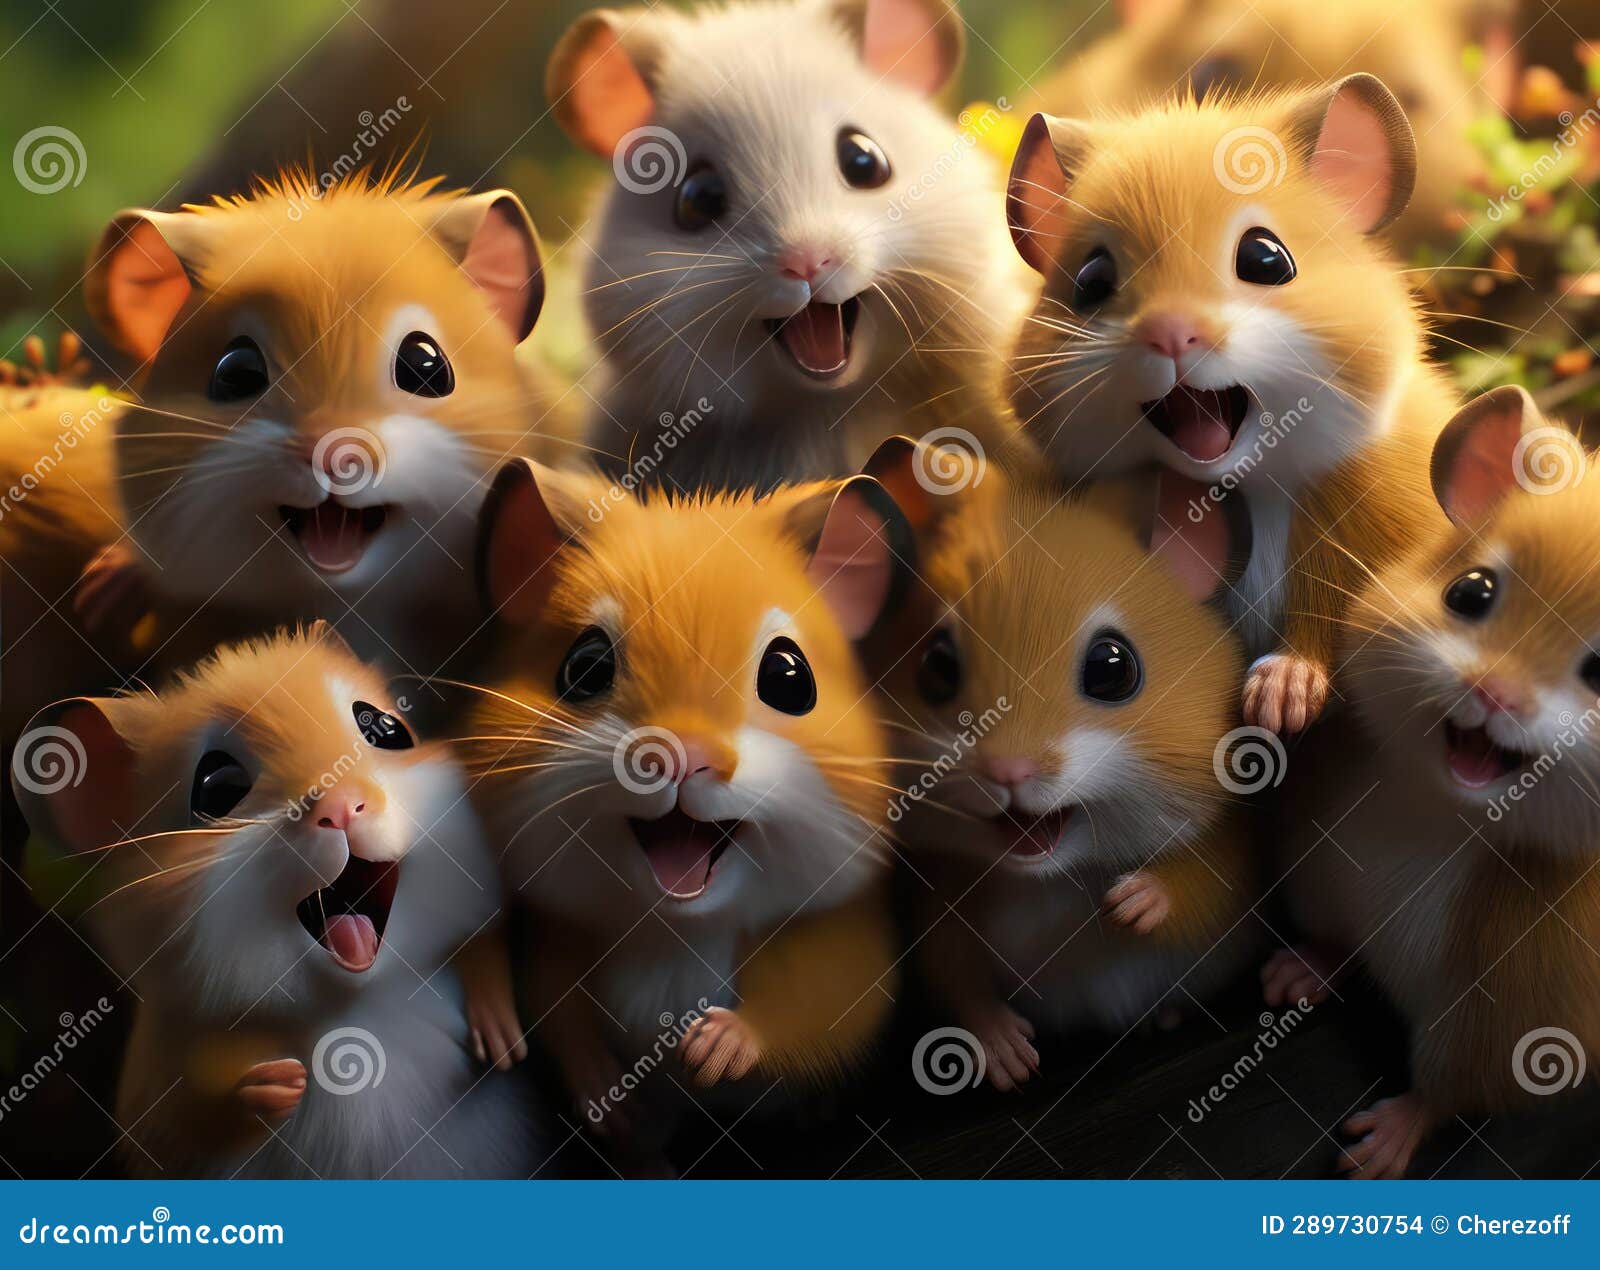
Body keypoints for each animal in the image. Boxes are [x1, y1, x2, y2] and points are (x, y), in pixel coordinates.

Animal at [12, 625, 541, 1179]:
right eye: (216, 790)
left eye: (388, 731)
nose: (341, 806)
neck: (351, 1003)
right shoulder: (157, 1093)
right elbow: (191, 1121)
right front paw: (281, 1083)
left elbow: (481, 945)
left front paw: (503, 1044)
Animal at [462, 457, 905, 1170]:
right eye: (583, 667)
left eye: (790, 678)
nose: (679, 756)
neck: (676, 928)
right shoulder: (562, 939)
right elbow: (561, 1014)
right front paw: (608, 1099)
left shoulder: (844, 949)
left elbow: (821, 1007)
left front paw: (710, 1049)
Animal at [861, 436, 1257, 1086]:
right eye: (937, 667)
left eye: (1112, 667)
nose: (1008, 773)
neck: (1055, 877)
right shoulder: (942, 902)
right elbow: (955, 976)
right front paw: (1011, 1061)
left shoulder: (1238, 847)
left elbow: (1205, 880)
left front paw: (1129, 903)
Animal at [1006, 75, 1460, 735]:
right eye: (1090, 282)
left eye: (1266, 260)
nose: (1170, 333)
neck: (1240, 484)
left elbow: (1322, 630)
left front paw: (1277, 700)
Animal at [1271, 386, 1600, 1178]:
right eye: (1471, 592)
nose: (1492, 694)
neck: (1441, 813)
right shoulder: (1318, 866)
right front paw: (1282, 978)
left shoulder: (1518, 1018)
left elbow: (1446, 1091)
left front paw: (1369, 1154)